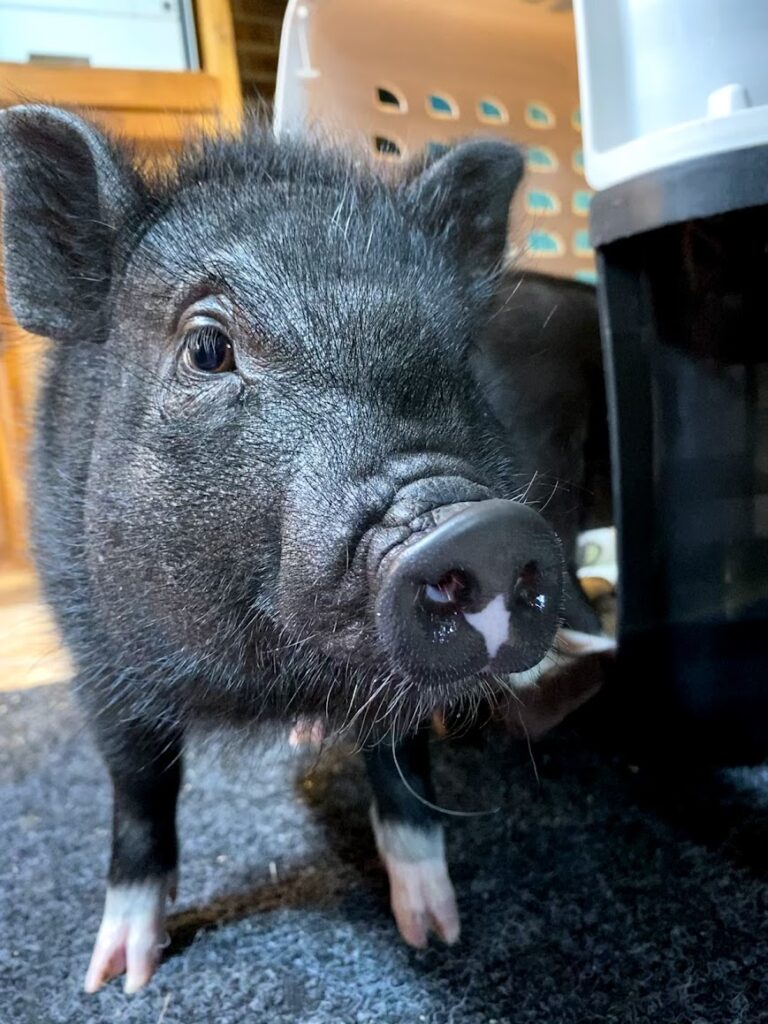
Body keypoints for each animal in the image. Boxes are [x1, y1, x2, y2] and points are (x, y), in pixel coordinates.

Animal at [0, 106, 611, 994]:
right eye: (207, 347)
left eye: (459, 355)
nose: (480, 527)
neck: (267, 682)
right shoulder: (96, 650)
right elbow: (139, 788)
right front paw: (117, 979)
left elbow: (403, 764)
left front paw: (435, 935)